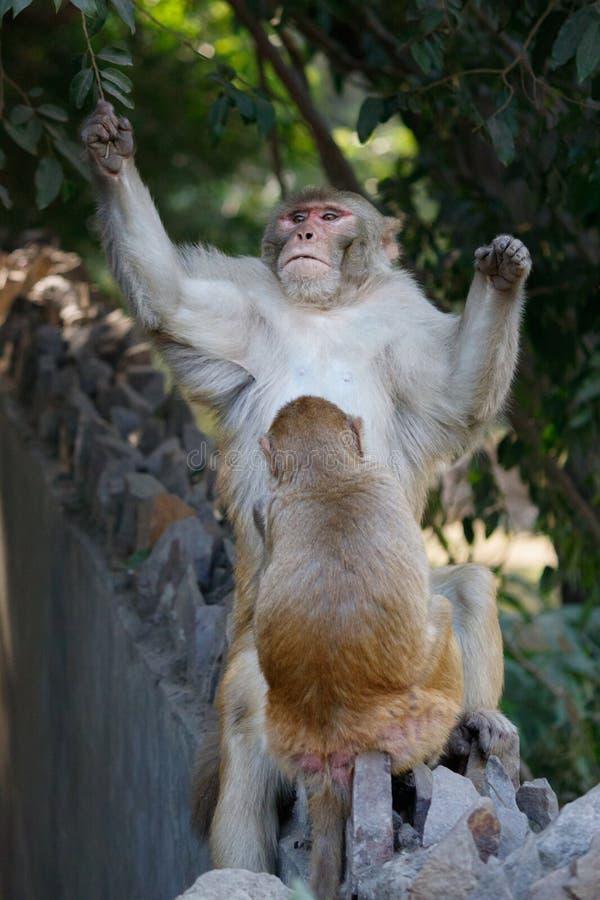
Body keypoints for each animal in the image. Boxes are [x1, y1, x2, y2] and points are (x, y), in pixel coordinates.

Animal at [254, 395, 463, 899]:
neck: (323, 476)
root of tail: (332, 740)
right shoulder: (386, 482)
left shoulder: (271, 508)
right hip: (414, 726)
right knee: (442, 612)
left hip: (285, 739)